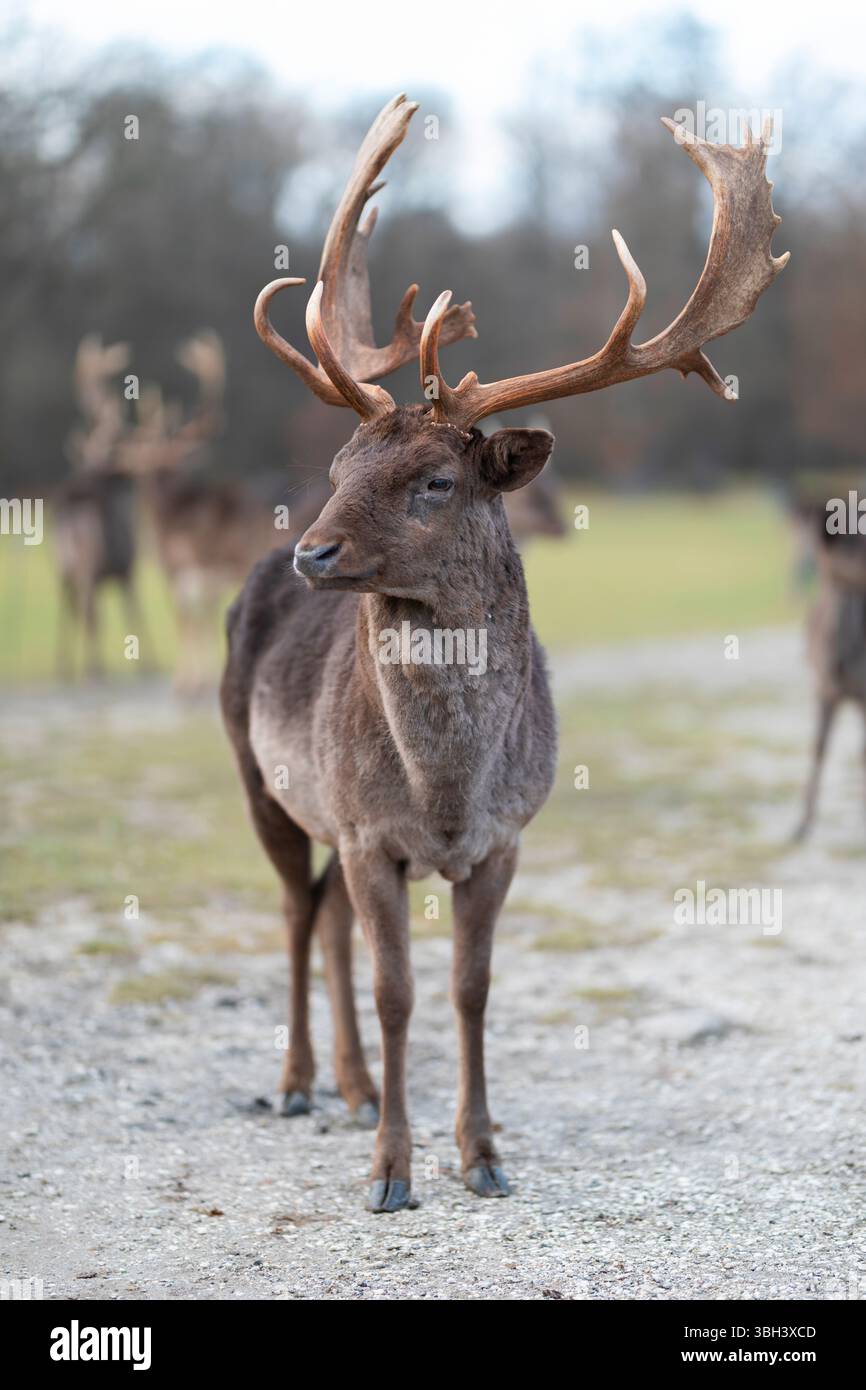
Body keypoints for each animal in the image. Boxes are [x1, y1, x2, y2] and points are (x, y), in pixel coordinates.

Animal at [53, 335, 144, 679]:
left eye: (99, 470)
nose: (67, 493)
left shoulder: (127, 569)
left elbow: (134, 613)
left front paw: (149, 663)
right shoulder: (108, 568)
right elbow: (116, 614)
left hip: (70, 569)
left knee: (75, 607)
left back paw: (70, 667)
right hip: (75, 567)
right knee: (82, 610)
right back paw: (85, 668)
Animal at [221, 95, 787, 1212]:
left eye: (435, 481)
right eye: (338, 464)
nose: (313, 551)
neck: (446, 792)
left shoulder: (508, 836)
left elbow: (471, 989)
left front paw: (481, 1154)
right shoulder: (369, 831)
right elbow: (399, 990)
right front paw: (390, 1172)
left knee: (323, 913)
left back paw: (352, 1086)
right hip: (258, 774)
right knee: (297, 910)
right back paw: (302, 1082)